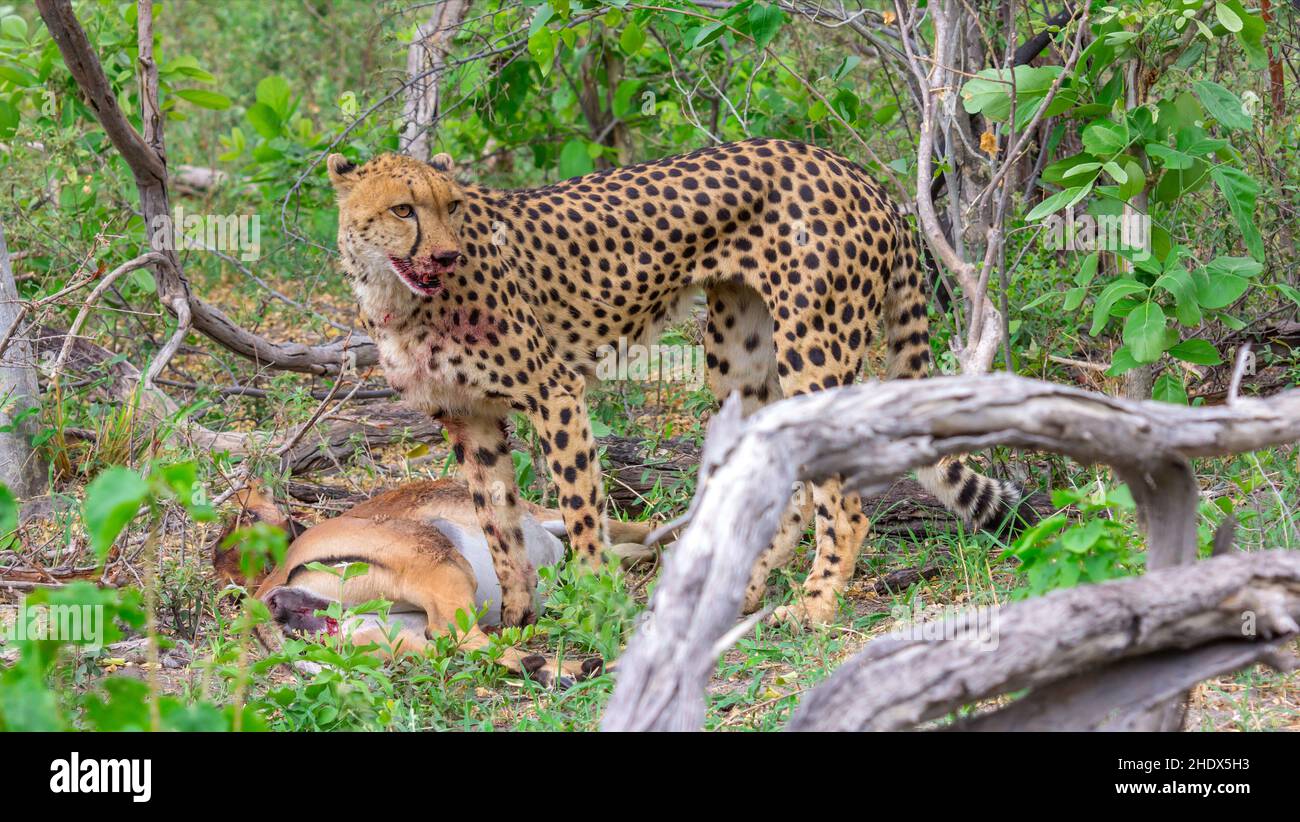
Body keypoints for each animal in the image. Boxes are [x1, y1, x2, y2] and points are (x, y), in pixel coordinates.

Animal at [328, 137, 1020, 628]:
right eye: (402, 209)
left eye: (451, 206)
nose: (445, 254)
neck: (401, 298)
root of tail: (853, 169)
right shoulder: (470, 420)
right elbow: (498, 521)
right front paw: (520, 614)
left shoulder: (555, 392)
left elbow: (580, 508)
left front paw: (595, 602)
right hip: (738, 358)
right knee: (792, 482)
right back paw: (743, 588)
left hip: (814, 350)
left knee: (844, 506)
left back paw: (815, 606)